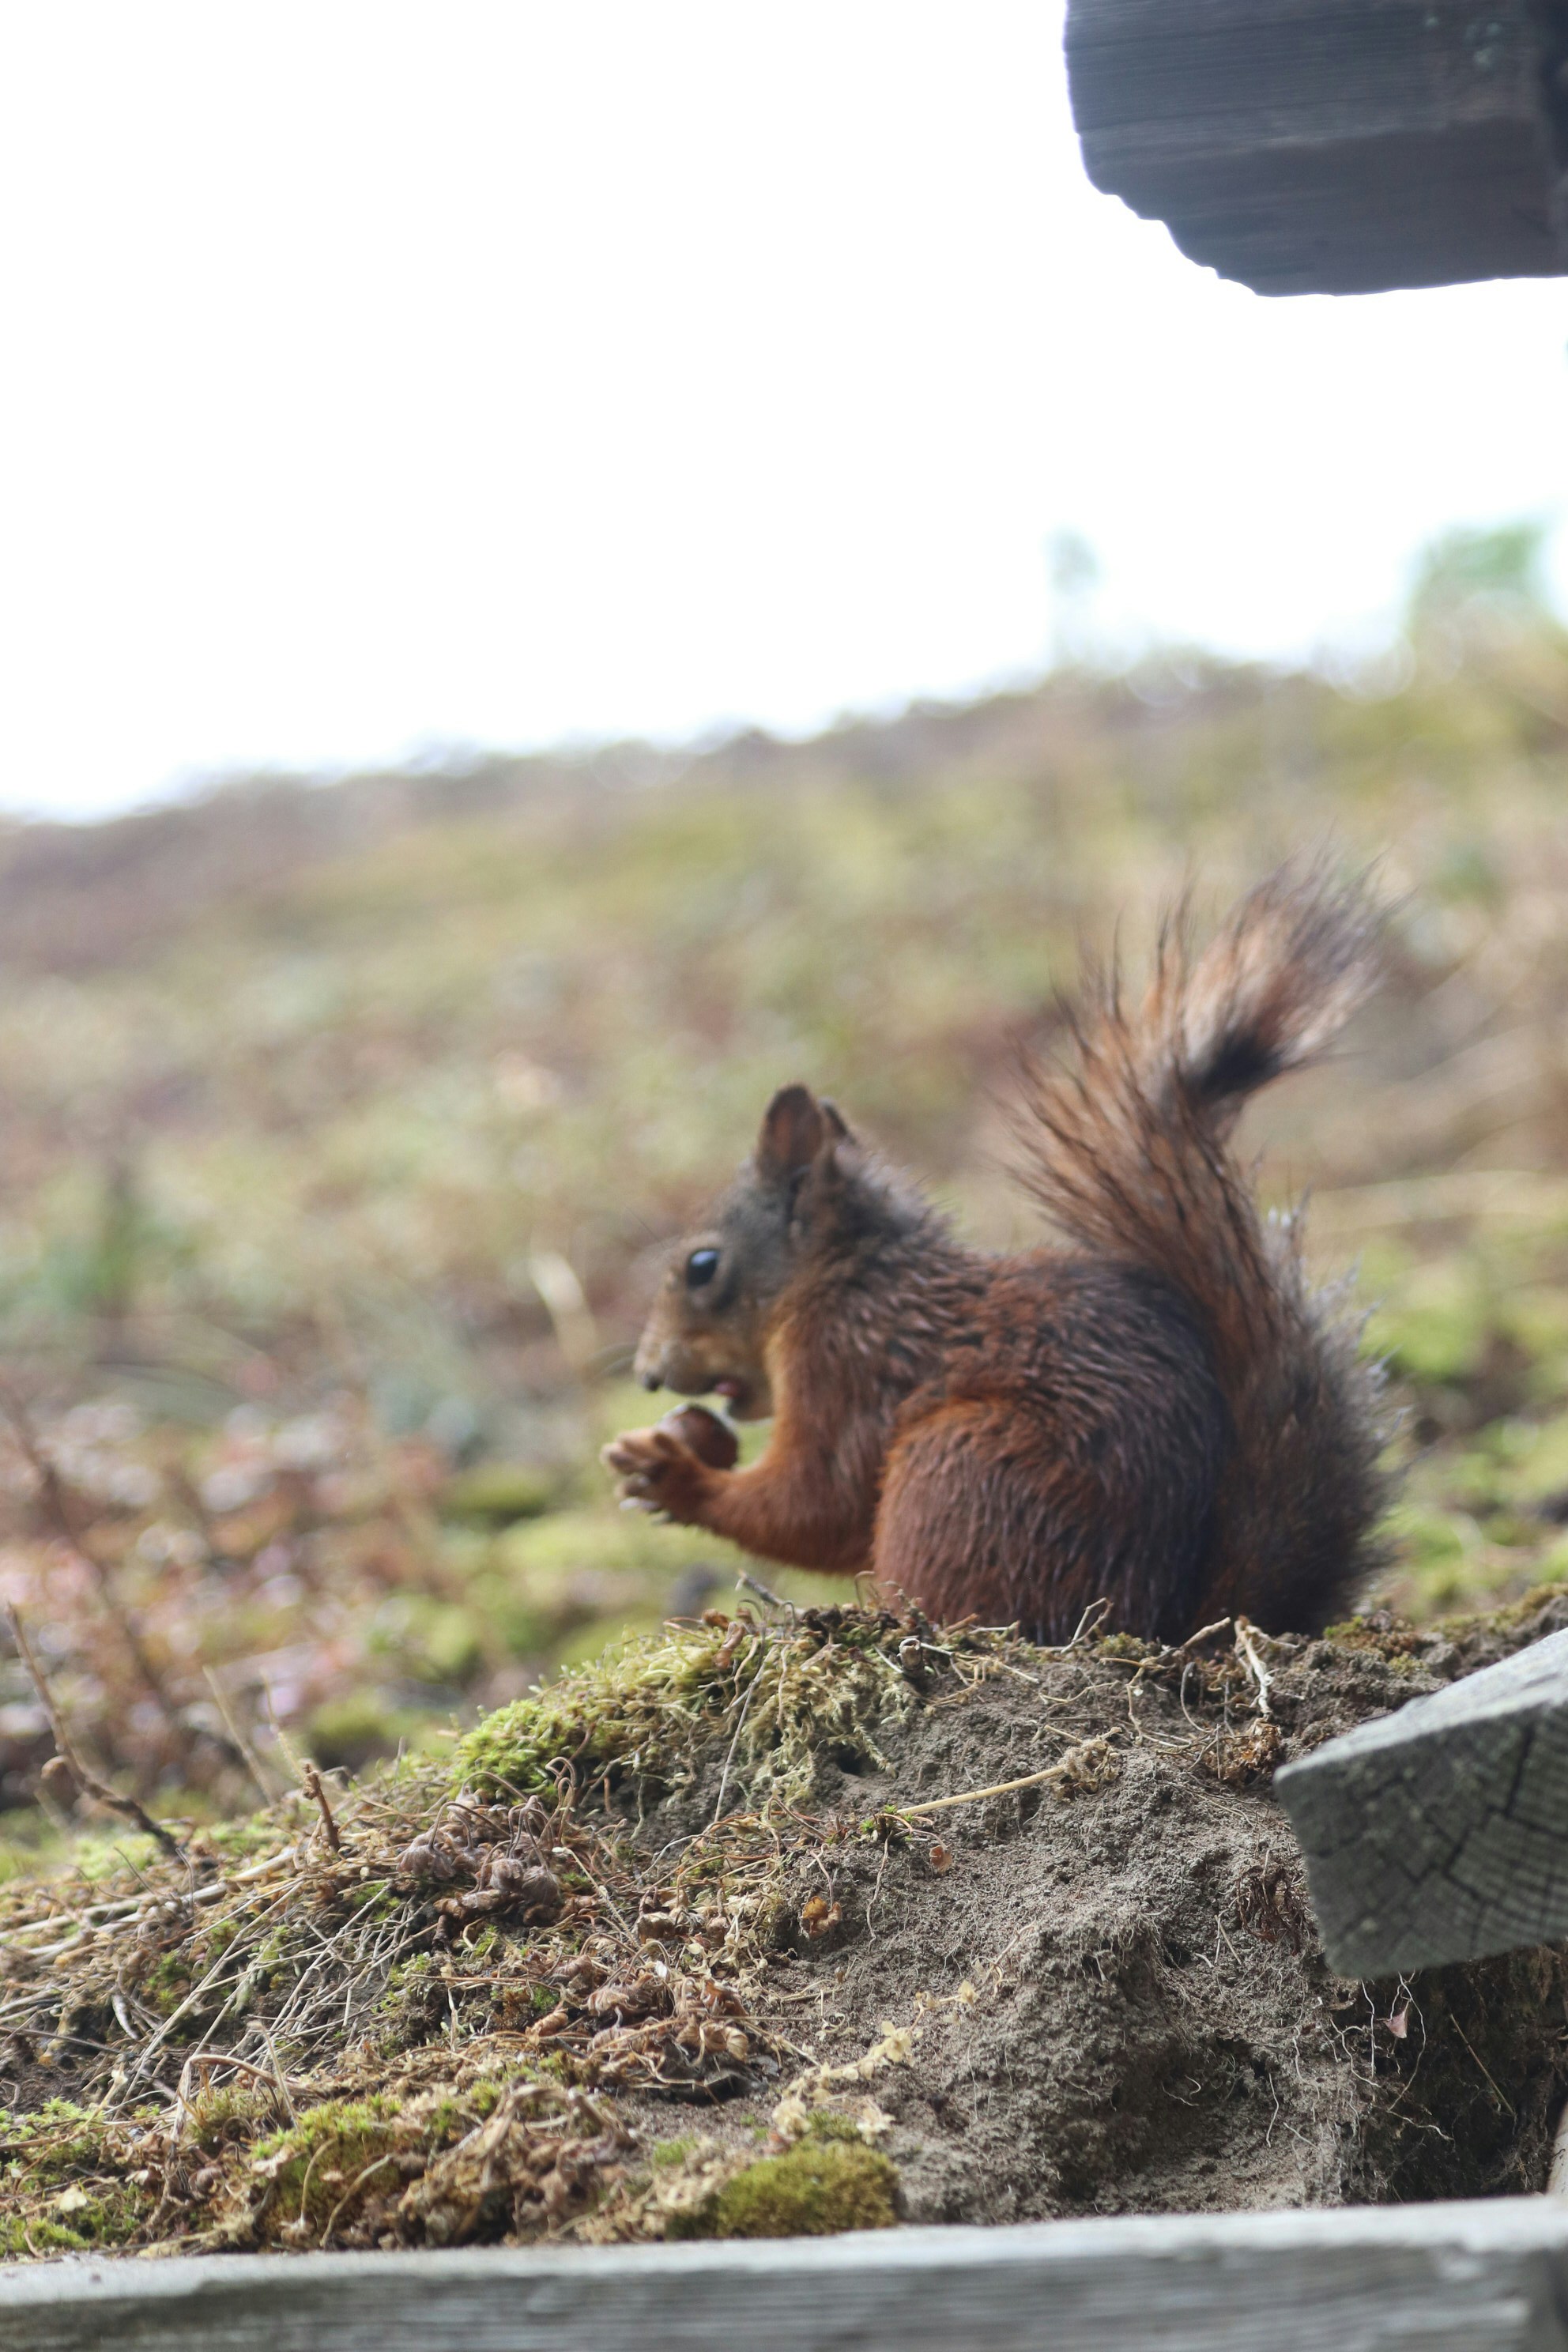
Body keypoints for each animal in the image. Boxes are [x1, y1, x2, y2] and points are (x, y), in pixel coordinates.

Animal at [603, 862, 1390, 1644]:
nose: (649, 1375)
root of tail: (1161, 1624)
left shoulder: (846, 1369)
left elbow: (817, 1504)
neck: (845, 1280)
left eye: (702, 1267)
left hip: (960, 1465)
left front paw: (673, 1475)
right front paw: (694, 1440)